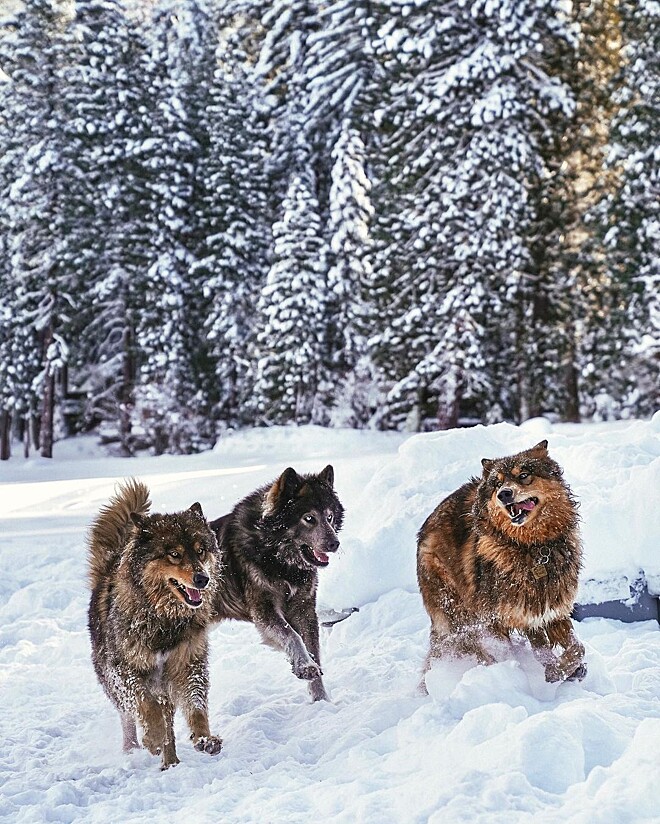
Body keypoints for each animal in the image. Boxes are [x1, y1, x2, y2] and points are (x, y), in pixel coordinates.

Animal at [87, 479, 222, 769]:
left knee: (168, 720)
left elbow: (197, 705)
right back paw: (134, 747)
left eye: (200, 550)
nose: (203, 579)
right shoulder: (125, 670)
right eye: (174, 554)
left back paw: (171, 763)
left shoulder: (188, 664)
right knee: (129, 716)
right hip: (114, 683)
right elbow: (145, 706)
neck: (163, 618)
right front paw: (151, 738)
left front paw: (205, 738)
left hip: (166, 691)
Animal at [210, 465, 344, 702]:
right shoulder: (264, 611)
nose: (334, 544)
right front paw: (304, 667)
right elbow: (291, 636)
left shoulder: (304, 609)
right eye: (309, 518)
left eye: (329, 517)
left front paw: (321, 700)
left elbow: (313, 651)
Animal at [417, 440, 586, 686]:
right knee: (477, 647)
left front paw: (567, 670)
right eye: (497, 484)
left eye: (524, 475)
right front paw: (555, 672)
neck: (533, 547)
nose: (504, 494)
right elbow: (542, 651)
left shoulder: (551, 612)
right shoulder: (498, 619)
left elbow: (576, 648)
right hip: (459, 614)